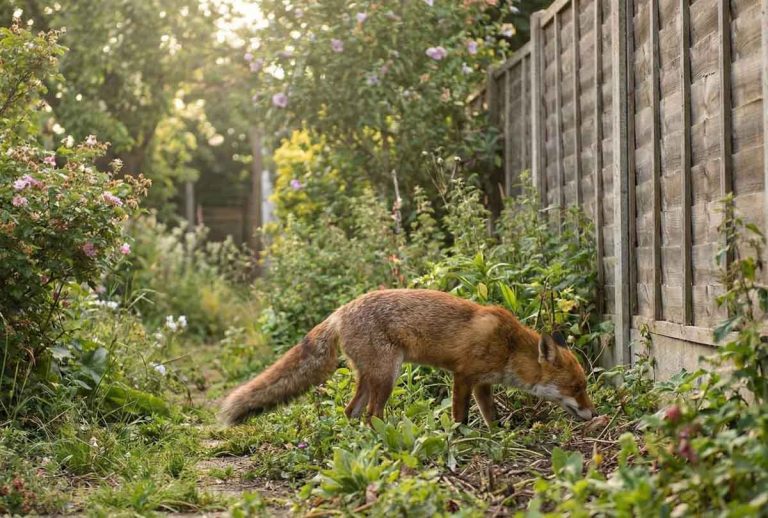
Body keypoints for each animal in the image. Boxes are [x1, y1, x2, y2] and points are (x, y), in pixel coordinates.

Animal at [219, 289, 596, 427]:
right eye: (577, 387)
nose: (594, 413)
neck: (508, 345)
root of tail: (340, 310)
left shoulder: (483, 385)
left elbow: (492, 418)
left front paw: (497, 437)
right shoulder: (463, 376)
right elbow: (460, 416)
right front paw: (460, 438)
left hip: (370, 377)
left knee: (351, 411)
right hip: (388, 375)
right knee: (371, 414)